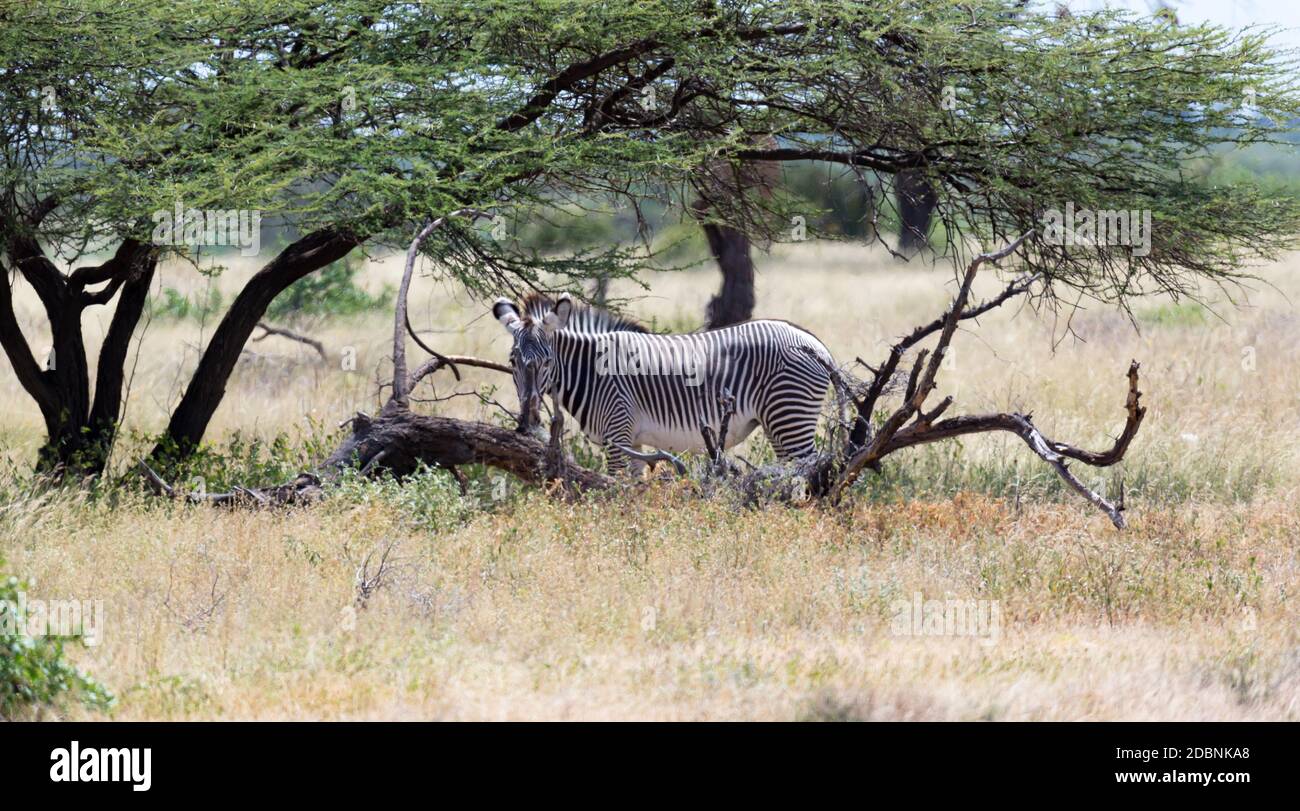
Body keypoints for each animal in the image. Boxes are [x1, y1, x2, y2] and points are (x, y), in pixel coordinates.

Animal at [492, 293, 835, 472]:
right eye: (512, 362)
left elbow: (614, 490)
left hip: (789, 417)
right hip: (779, 424)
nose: (527, 420)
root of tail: (815, 344)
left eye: (548, 362)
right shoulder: (631, 440)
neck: (591, 371)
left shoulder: (617, 433)